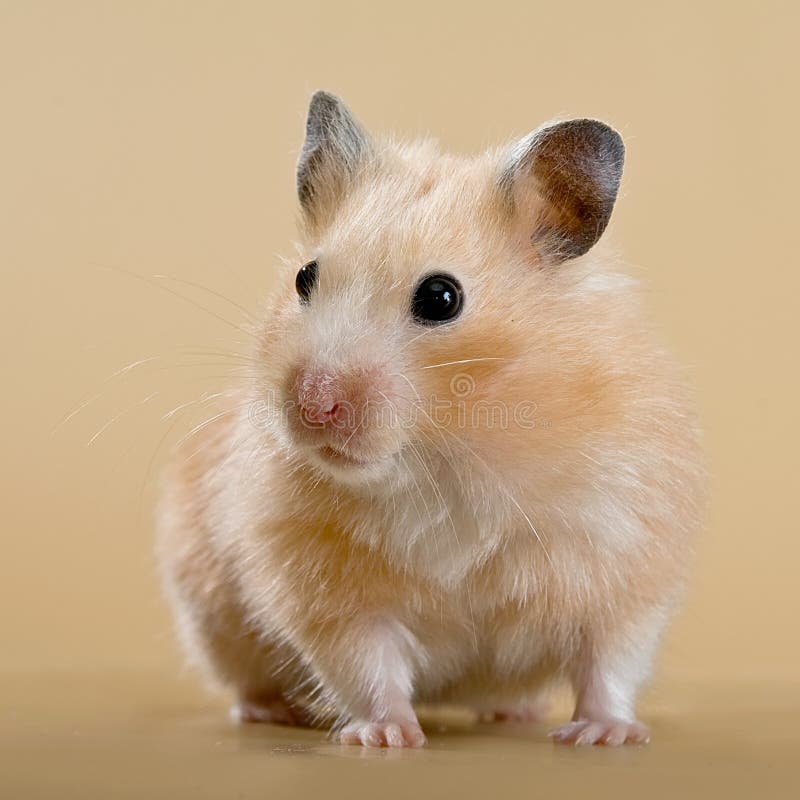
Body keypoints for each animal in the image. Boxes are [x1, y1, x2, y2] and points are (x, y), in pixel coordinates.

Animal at [157, 91, 705, 748]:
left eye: (441, 298)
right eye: (304, 277)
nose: (313, 405)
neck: (444, 454)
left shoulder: (623, 559)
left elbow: (609, 661)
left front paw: (603, 736)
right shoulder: (326, 589)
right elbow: (366, 664)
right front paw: (385, 738)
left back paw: (514, 714)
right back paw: (272, 711)